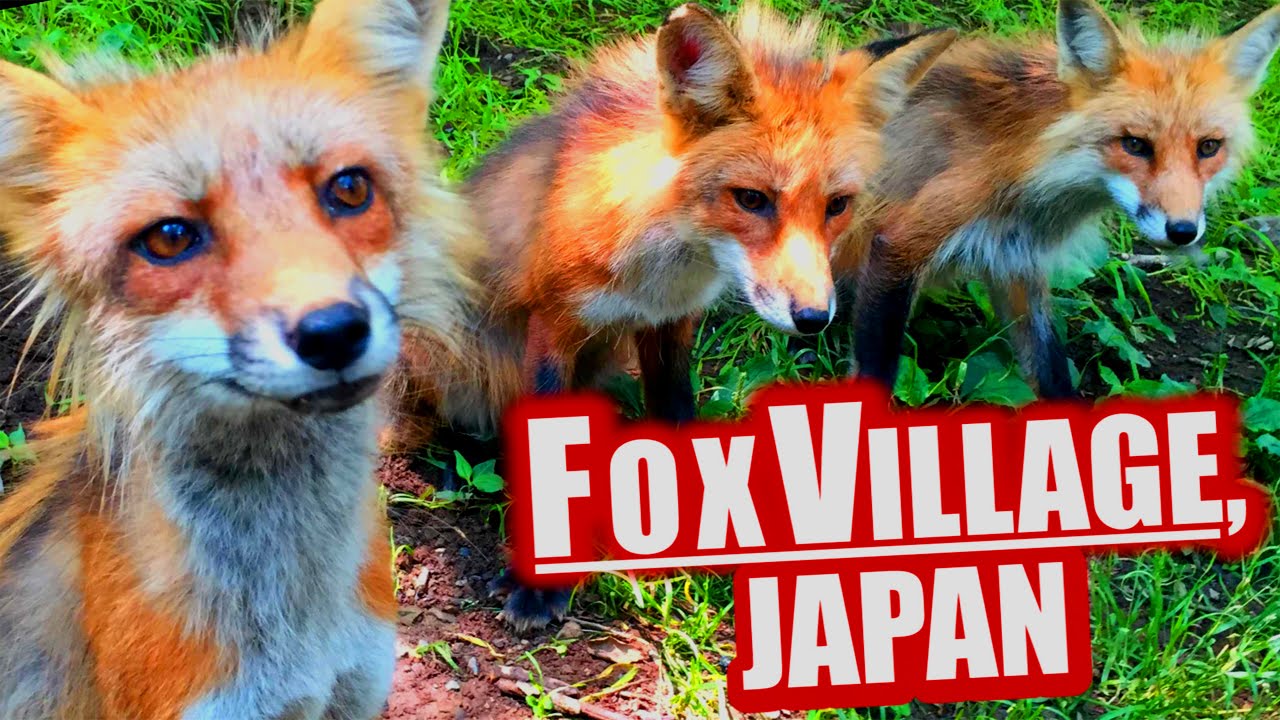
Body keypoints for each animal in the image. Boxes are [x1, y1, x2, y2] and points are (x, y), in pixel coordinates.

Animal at [393, 2, 957, 631]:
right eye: (752, 199)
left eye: (837, 205)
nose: (814, 317)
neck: (660, 269)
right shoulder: (554, 323)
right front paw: (540, 585)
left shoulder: (669, 326)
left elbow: (678, 418)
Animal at [834, 0, 1280, 399]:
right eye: (1135, 144)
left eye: (1208, 147)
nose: (1183, 231)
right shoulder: (901, 242)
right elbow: (876, 371)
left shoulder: (1016, 262)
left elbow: (1051, 370)